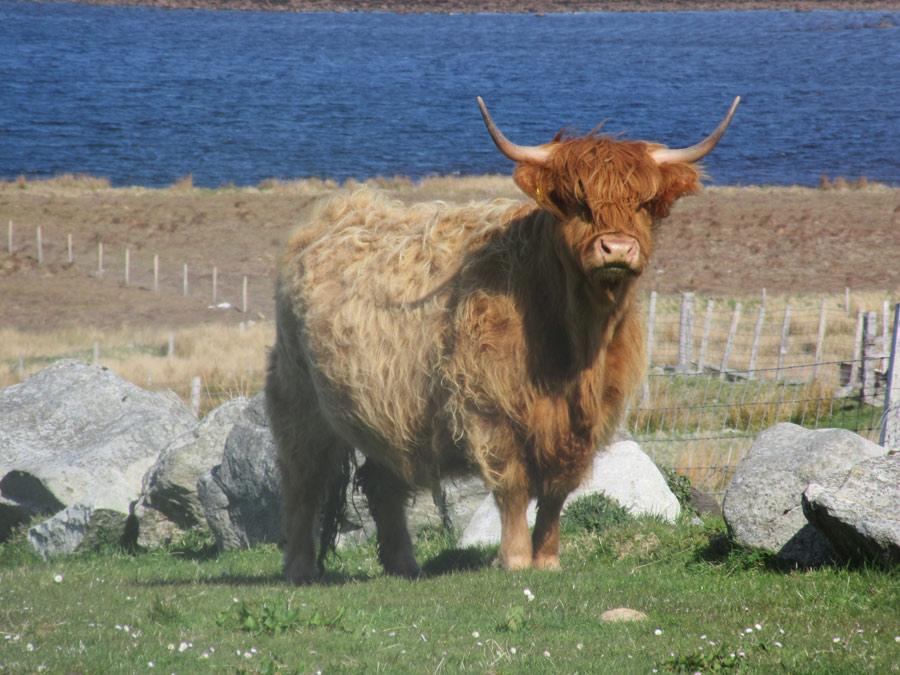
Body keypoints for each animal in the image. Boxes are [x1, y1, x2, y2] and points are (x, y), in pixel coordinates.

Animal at [265, 95, 739, 583]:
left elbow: (556, 493)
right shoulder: (488, 409)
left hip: (389, 409)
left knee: (384, 483)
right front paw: (514, 559)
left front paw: (547, 559)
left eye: (644, 204)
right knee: (302, 482)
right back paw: (300, 568)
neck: (575, 345)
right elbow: (512, 486)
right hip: (300, 400)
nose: (617, 248)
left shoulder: (582, 422)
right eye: (576, 202)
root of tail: (337, 209)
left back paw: (403, 564)